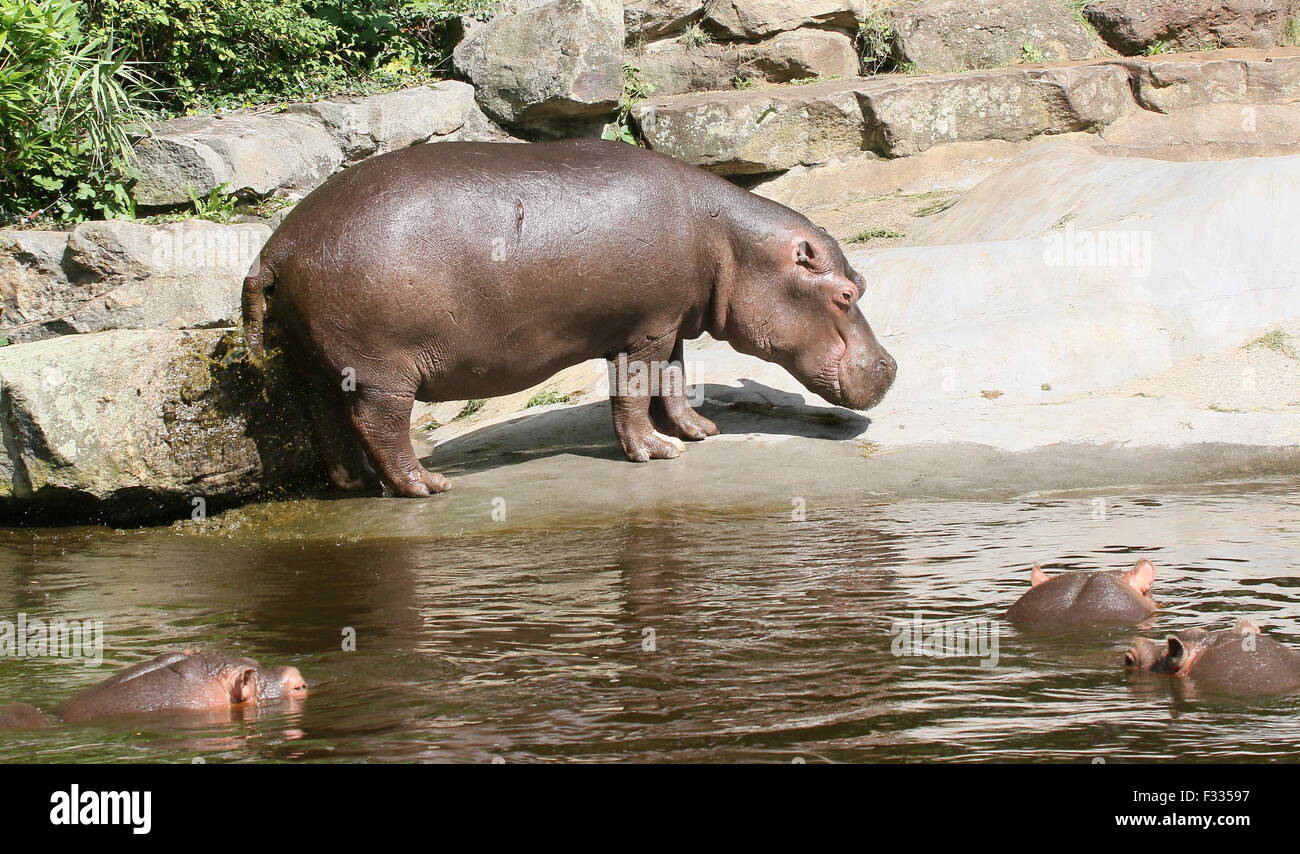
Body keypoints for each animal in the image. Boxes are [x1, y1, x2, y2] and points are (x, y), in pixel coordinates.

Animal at [242, 139, 897, 497]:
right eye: (845, 293)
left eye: (863, 283)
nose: (891, 366)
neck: (732, 243)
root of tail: (278, 246)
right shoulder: (646, 329)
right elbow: (634, 393)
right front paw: (658, 452)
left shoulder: (667, 323)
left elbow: (674, 380)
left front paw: (698, 432)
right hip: (381, 372)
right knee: (377, 424)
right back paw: (426, 487)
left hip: (314, 365)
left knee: (327, 420)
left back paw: (357, 484)